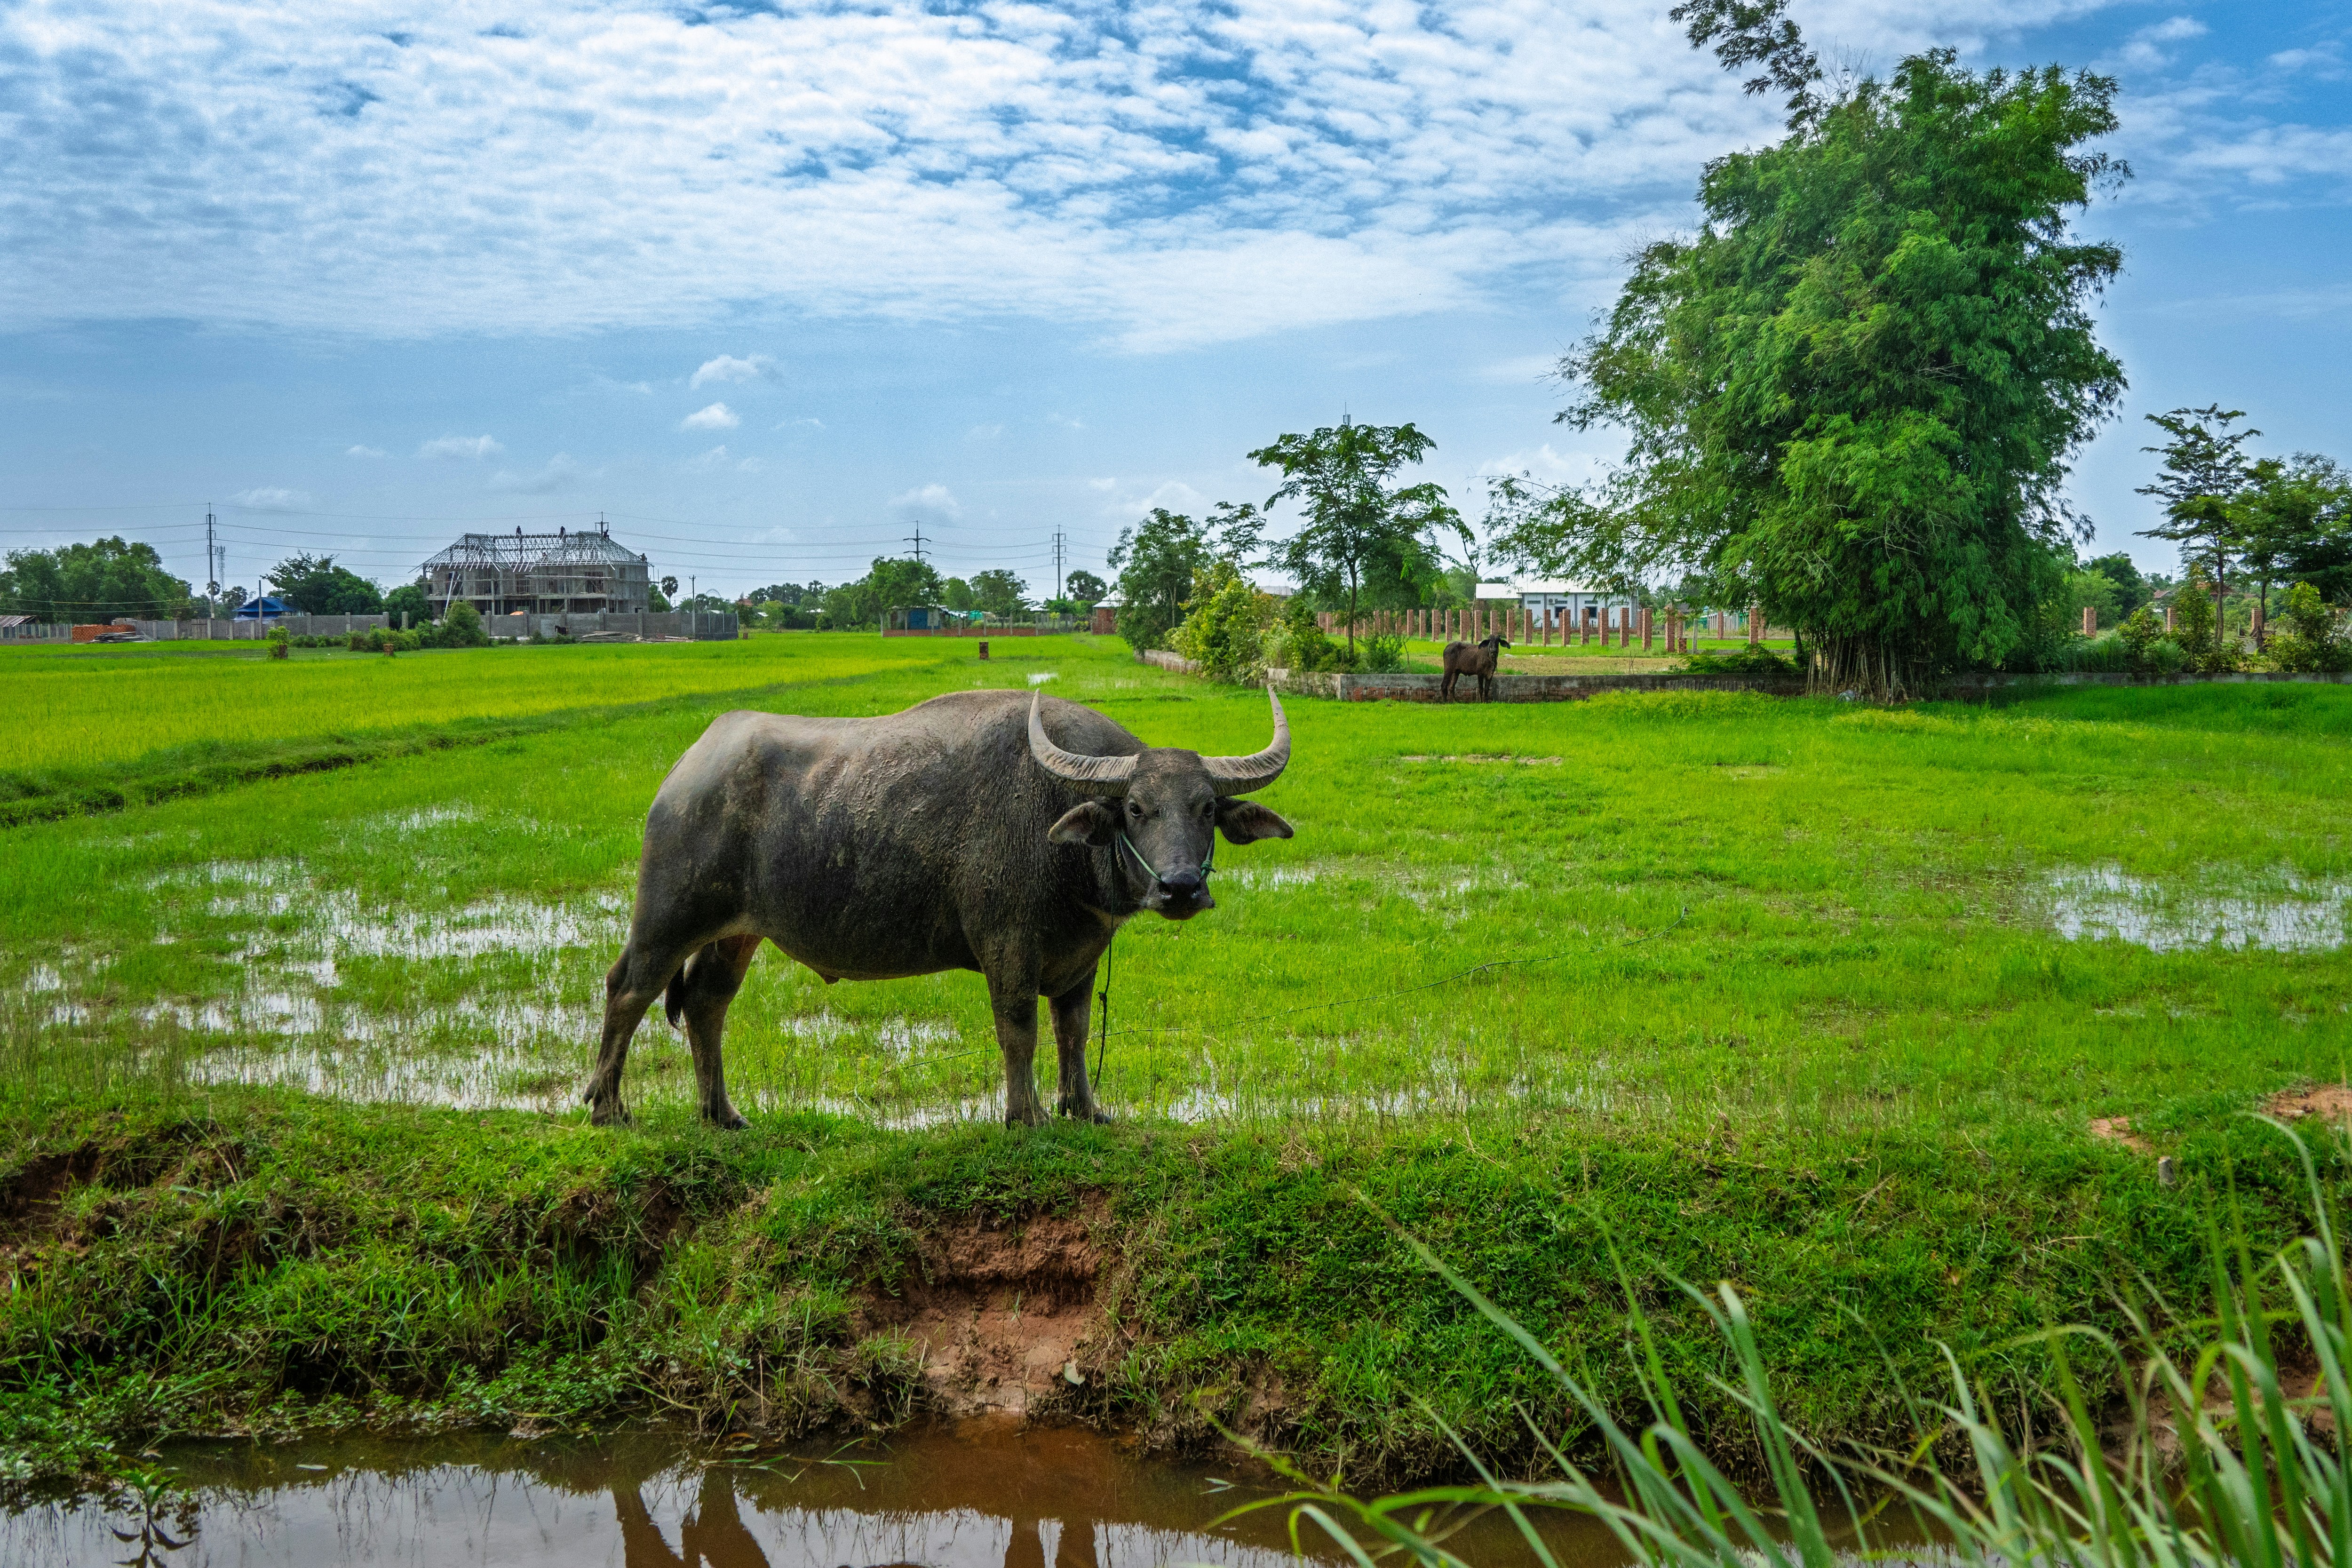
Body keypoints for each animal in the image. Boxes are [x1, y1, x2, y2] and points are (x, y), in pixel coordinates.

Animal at [586, 687, 1295, 1128]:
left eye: (1205, 807)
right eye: (1138, 809)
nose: (1179, 887)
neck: (1060, 839)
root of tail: (686, 770)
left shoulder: (1082, 956)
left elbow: (1072, 1031)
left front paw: (1085, 1110)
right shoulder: (1006, 945)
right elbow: (1020, 1030)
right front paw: (1026, 1115)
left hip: (736, 933)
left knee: (707, 1003)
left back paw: (723, 1114)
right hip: (668, 915)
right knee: (628, 988)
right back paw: (609, 1108)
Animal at [1440, 634, 1511, 701]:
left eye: (1498, 641)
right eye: (1490, 641)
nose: (1493, 651)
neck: (1489, 659)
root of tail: (1447, 647)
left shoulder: (1490, 675)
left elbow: (1487, 690)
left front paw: (1486, 701)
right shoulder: (1480, 674)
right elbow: (1481, 689)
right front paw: (1482, 701)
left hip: (1456, 672)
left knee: (1451, 687)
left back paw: (1455, 701)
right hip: (1448, 670)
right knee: (1444, 685)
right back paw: (1444, 701)